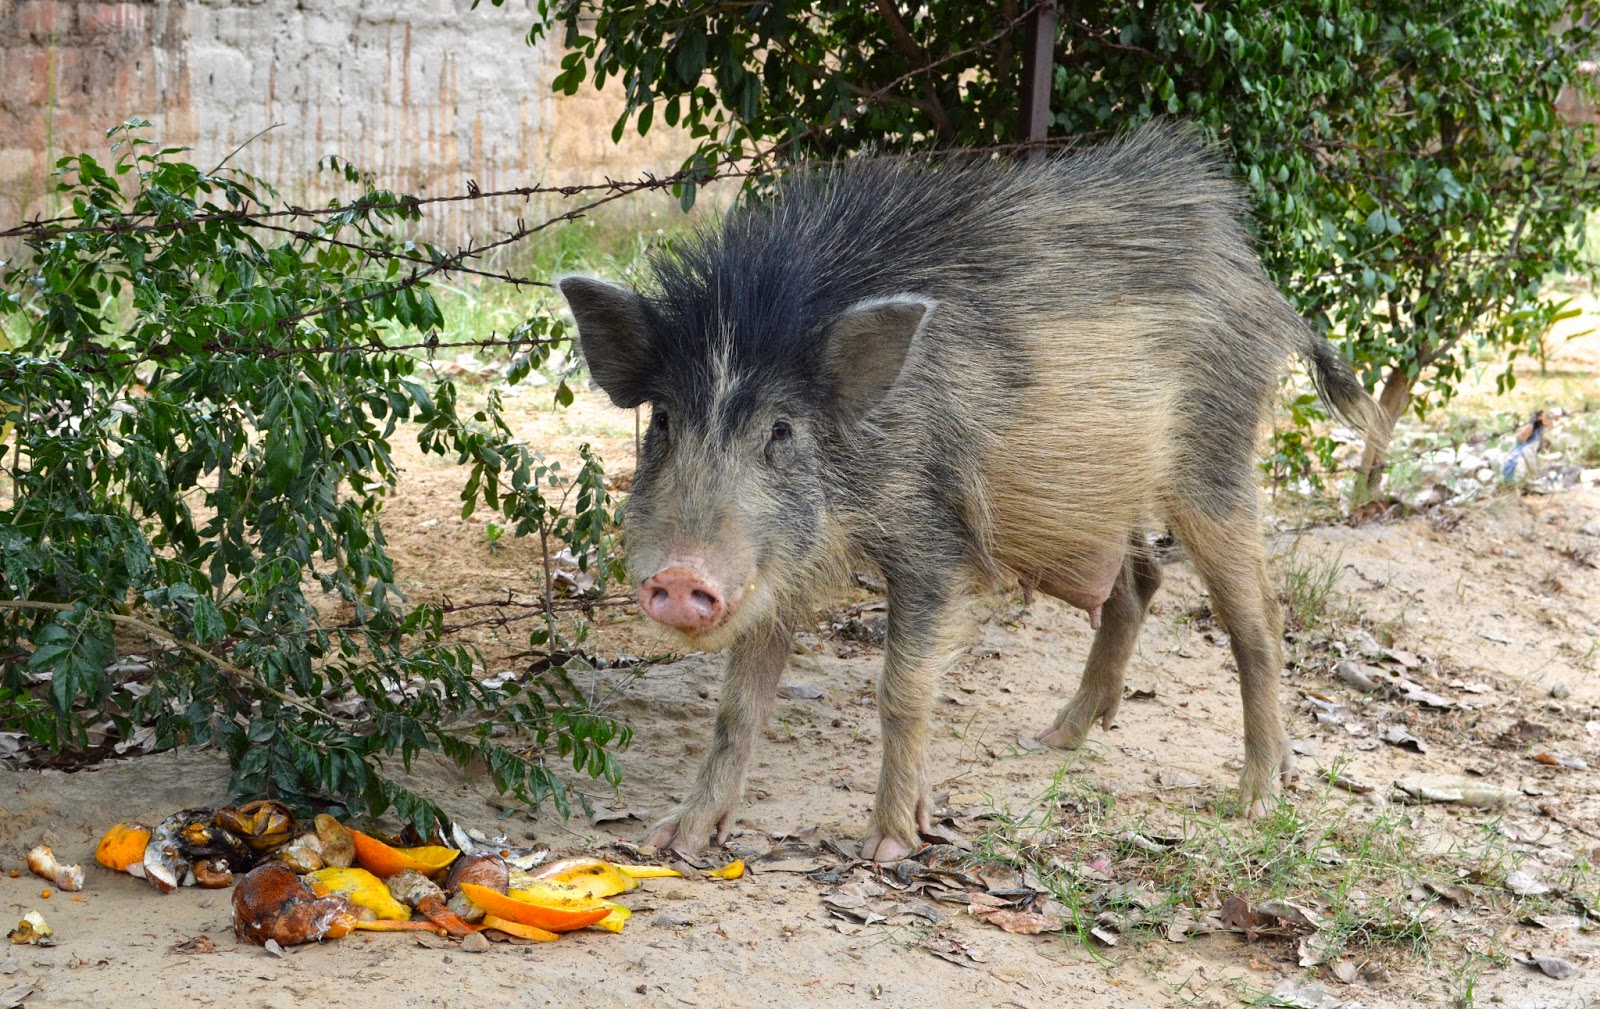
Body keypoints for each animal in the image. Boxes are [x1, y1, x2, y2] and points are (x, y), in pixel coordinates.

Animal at [557, 123, 1376, 862]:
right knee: (1140, 581)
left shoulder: (930, 537)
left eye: (782, 429)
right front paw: (672, 840)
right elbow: (737, 703)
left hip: (1216, 455)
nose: (678, 577)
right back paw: (1054, 738)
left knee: (1258, 620)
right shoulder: (782, 559)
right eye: (665, 420)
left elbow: (902, 688)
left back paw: (1256, 799)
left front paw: (890, 846)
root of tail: (1260, 281)